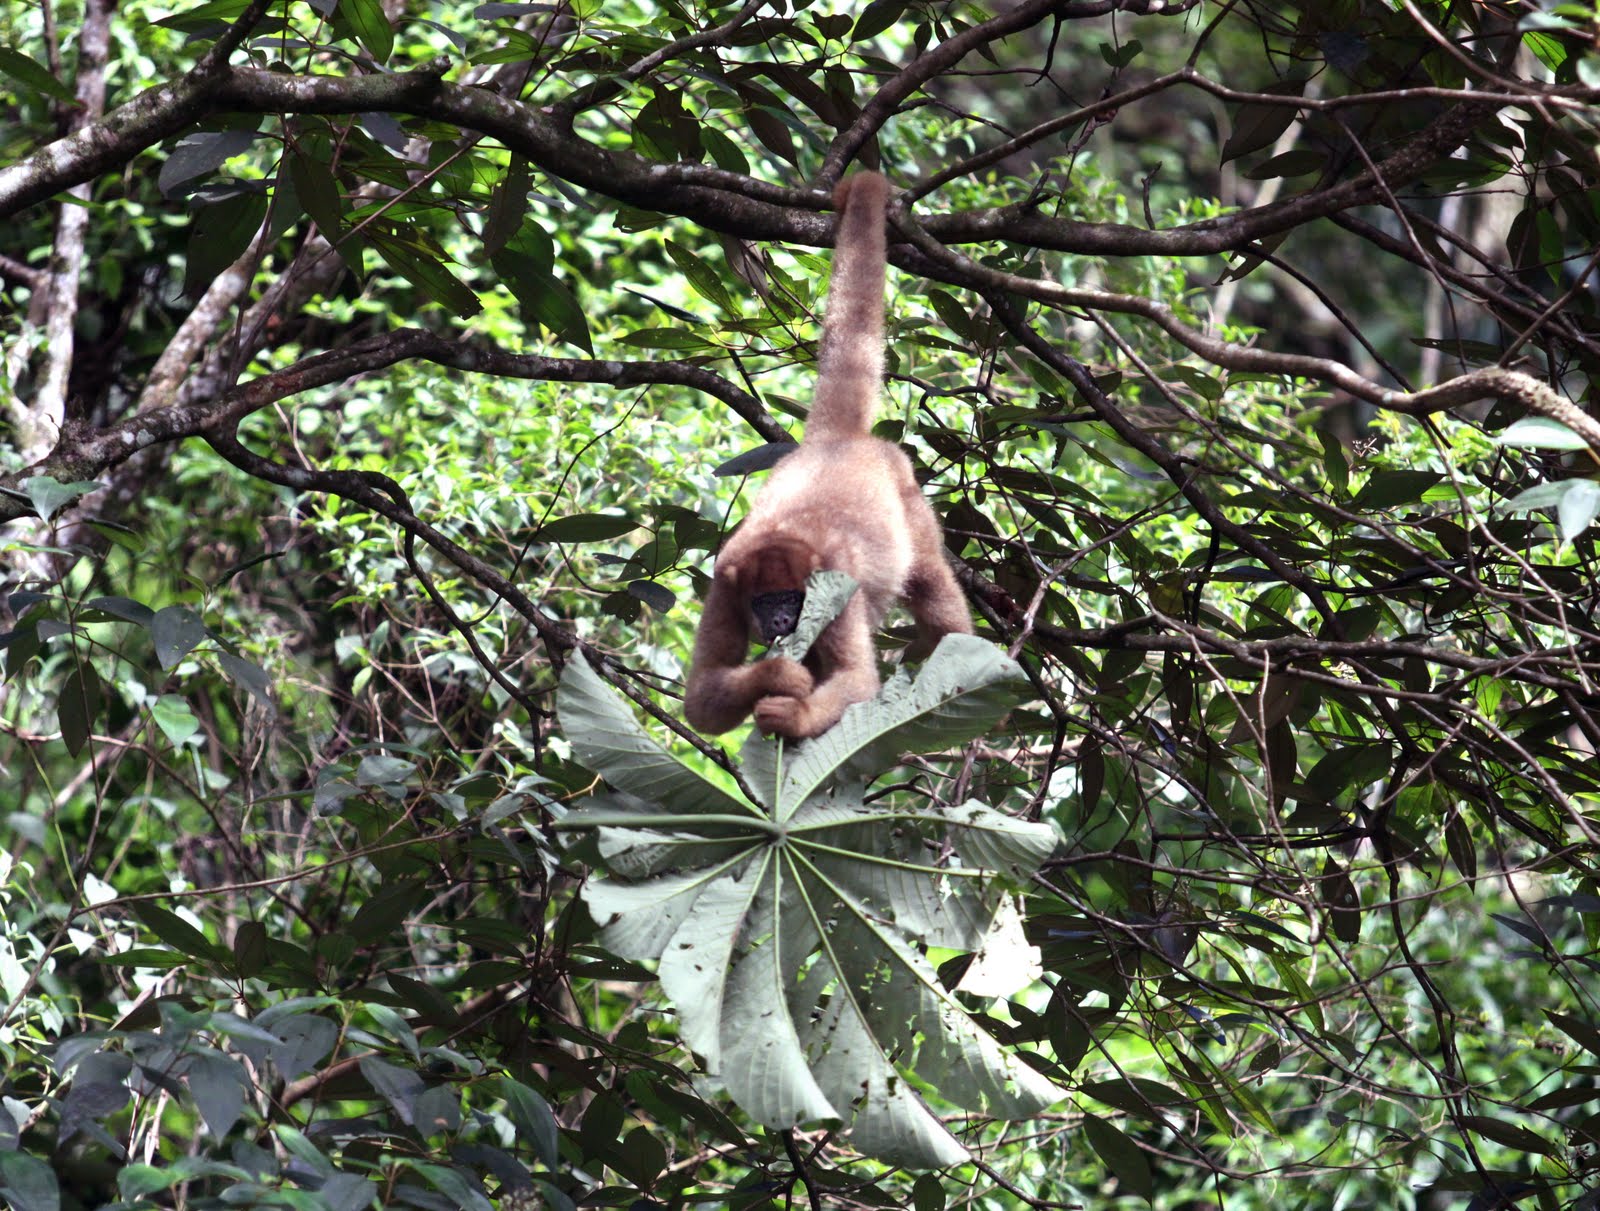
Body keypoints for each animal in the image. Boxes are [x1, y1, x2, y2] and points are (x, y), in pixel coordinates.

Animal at [683, 171, 973, 741]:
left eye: (793, 600)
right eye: (764, 602)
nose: (778, 623)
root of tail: (837, 440)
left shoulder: (835, 587)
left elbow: (856, 679)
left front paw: (791, 713)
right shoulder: (726, 584)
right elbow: (701, 699)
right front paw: (775, 676)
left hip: (906, 489)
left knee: (930, 583)